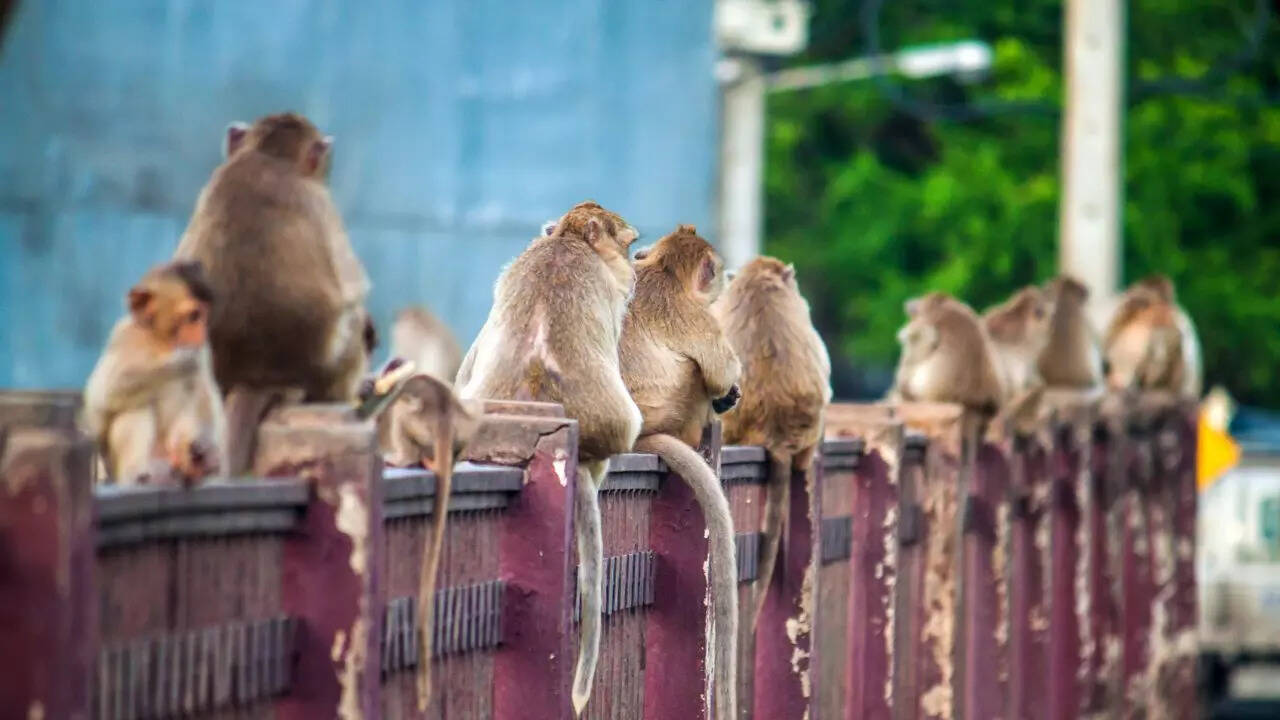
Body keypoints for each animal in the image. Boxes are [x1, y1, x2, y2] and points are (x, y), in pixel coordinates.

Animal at [83, 261, 226, 485]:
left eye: (205, 314)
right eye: (194, 316)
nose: (202, 333)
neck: (161, 340)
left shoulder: (205, 350)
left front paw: (205, 449)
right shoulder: (123, 335)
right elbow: (104, 396)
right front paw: (183, 359)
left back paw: (193, 460)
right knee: (137, 405)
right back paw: (139, 473)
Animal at [174, 112, 371, 475]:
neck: (268, 155)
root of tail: (260, 377)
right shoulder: (321, 203)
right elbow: (352, 290)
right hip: (325, 369)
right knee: (352, 319)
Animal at [360, 357, 480, 711]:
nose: (379, 377)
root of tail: (444, 415)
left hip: (418, 422)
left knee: (404, 411)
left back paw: (406, 459)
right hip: (463, 423)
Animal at [618, 225, 742, 720]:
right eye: (717, 270)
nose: (728, 277)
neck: (664, 272)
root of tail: (642, 436)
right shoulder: (698, 318)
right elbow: (719, 370)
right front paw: (729, 391)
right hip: (681, 408)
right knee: (697, 376)